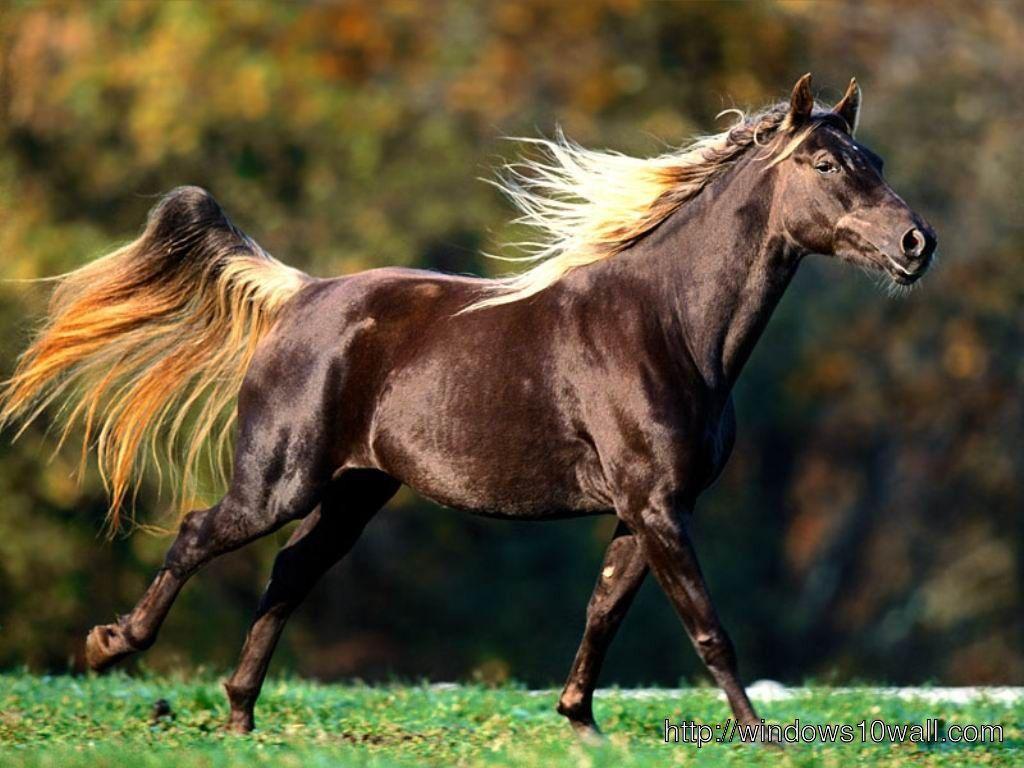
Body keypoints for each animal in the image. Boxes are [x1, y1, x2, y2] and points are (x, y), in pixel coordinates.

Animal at [0, 74, 936, 738]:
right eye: (825, 164)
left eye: (879, 162)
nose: (916, 244)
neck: (669, 325)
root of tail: (302, 295)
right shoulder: (657, 506)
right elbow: (706, 627)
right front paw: (760, 735)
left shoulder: (648, 509)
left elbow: (604, 611)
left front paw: (579, 724)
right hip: (279, 482)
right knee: (200, 533)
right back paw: (114, 647)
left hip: (354, 491)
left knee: (290, 574)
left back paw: (238, 715)